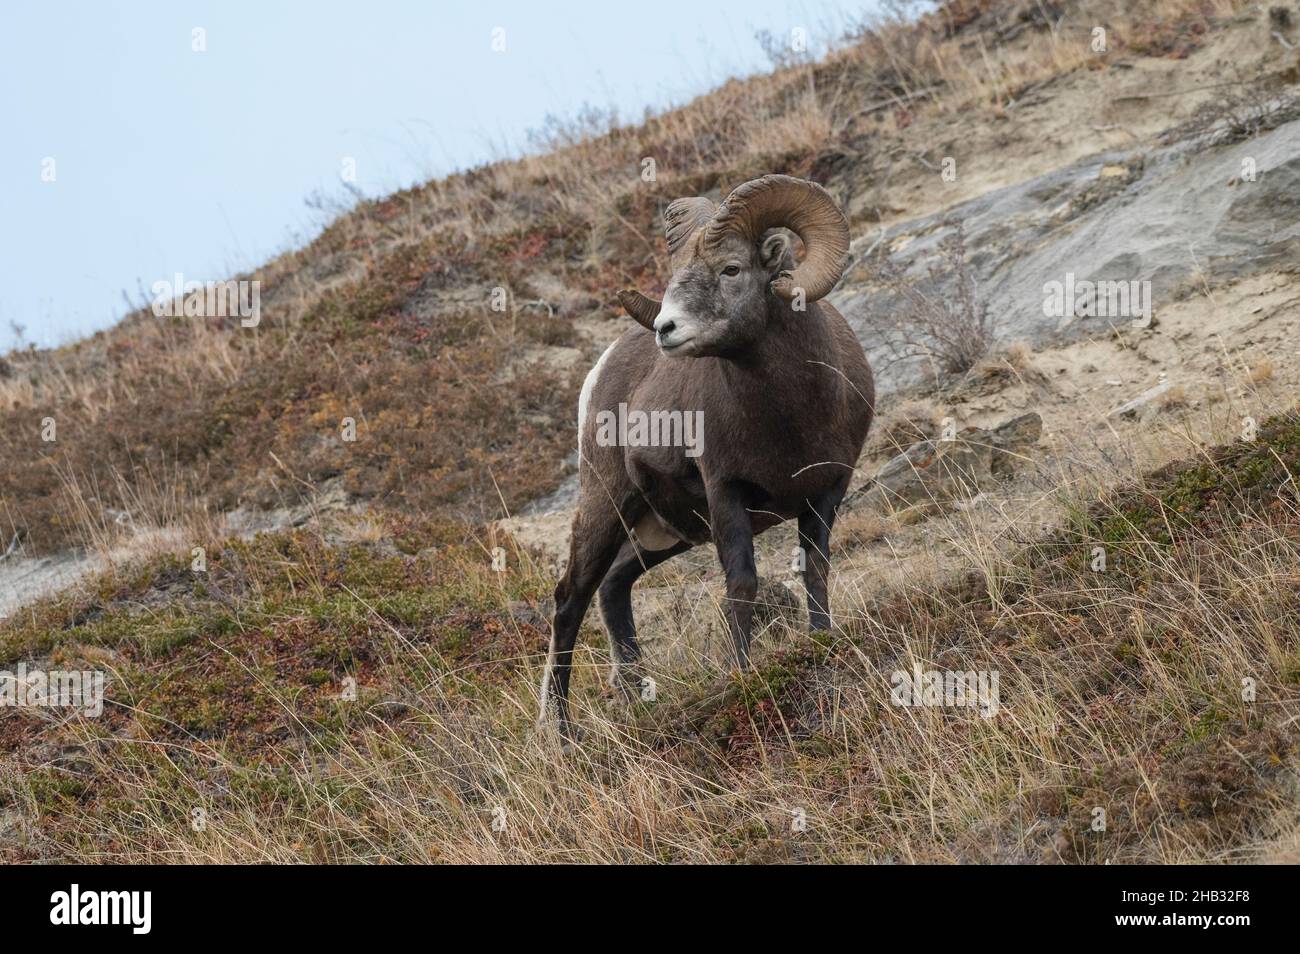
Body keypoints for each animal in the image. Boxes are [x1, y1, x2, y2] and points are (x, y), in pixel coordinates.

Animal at [540, 174, 875, 736]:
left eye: (731, 269)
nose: (667, 329)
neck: (790, 414)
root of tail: (600, 370)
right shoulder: (727, 496)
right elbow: (741, 584)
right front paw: (742, 673)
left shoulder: (827, 491)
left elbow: (816, 570)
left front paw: (822, 641)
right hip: (607, 508)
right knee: (571, 600)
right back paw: (562, 733)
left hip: (663, 532)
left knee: (612, 587)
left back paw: (636, 694)